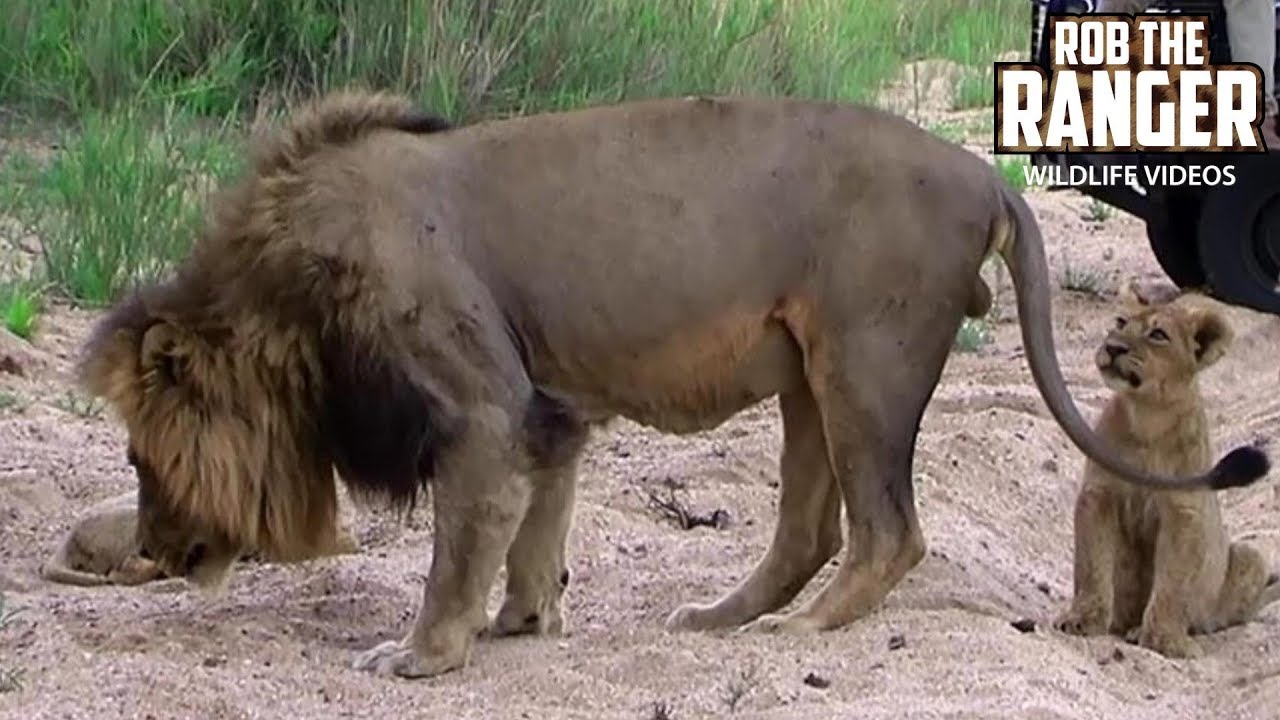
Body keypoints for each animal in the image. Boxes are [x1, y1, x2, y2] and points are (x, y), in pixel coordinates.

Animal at [1053, 281, 1280, 658]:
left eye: (1158, 334)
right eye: (1120, 322)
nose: (1113, 347)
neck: (1148, 418)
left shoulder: (1183, 511)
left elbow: (1173, 580)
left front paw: (1164, 640)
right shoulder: (1098, 494)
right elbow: (1091, 565)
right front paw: (1082, 619)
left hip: (1251, 557)